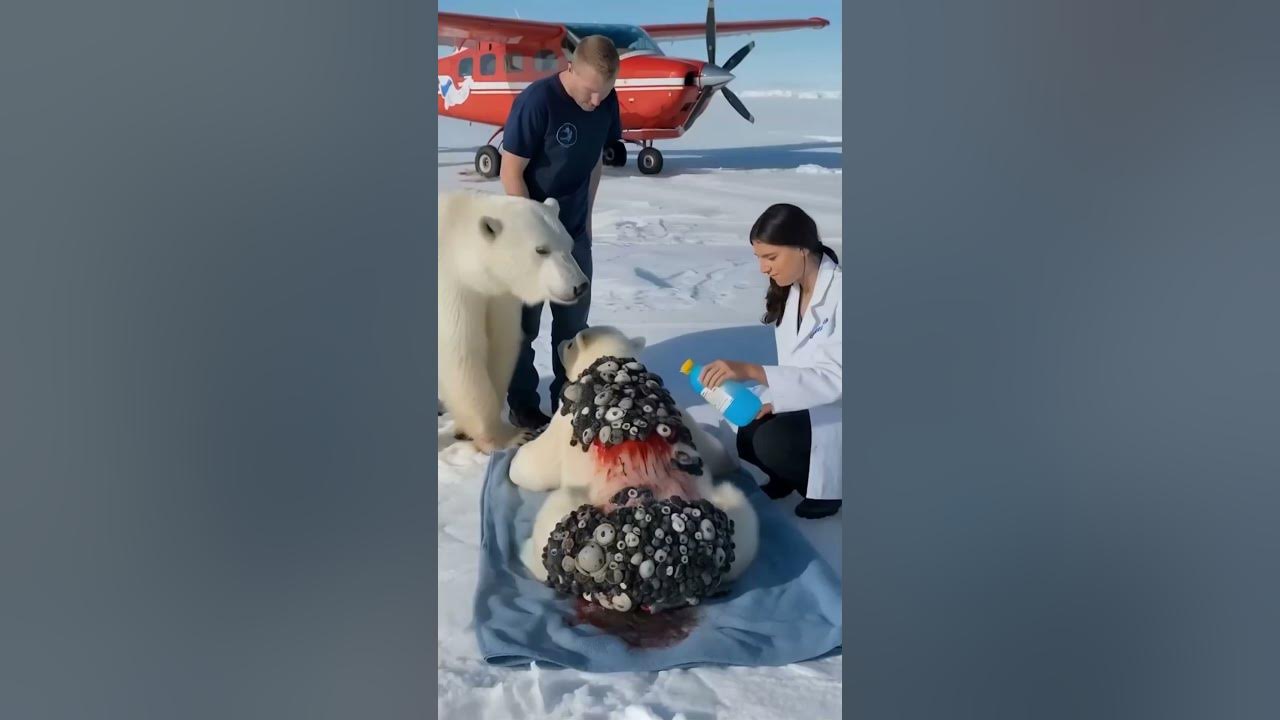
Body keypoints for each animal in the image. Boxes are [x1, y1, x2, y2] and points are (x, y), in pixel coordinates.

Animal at [438, 190, 589, 453]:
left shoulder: (498, 294)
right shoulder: (452, 288)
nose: (580, 286)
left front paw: (465, 430)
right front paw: (511, 437)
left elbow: (500, 344)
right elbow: (461, 353)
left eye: (569, 245)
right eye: (541, 249)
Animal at [510, 326, 760, 613]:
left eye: (571, 343)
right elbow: (708, 446)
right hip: (727, 517)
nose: (561, 342)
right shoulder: (679, 413)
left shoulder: (566, 419)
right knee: (743, 520)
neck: (616, 375)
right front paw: (728, 456)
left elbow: (538, 464)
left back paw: (526, 549)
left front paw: (518, 451)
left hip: (580, 529)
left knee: (553, 522)